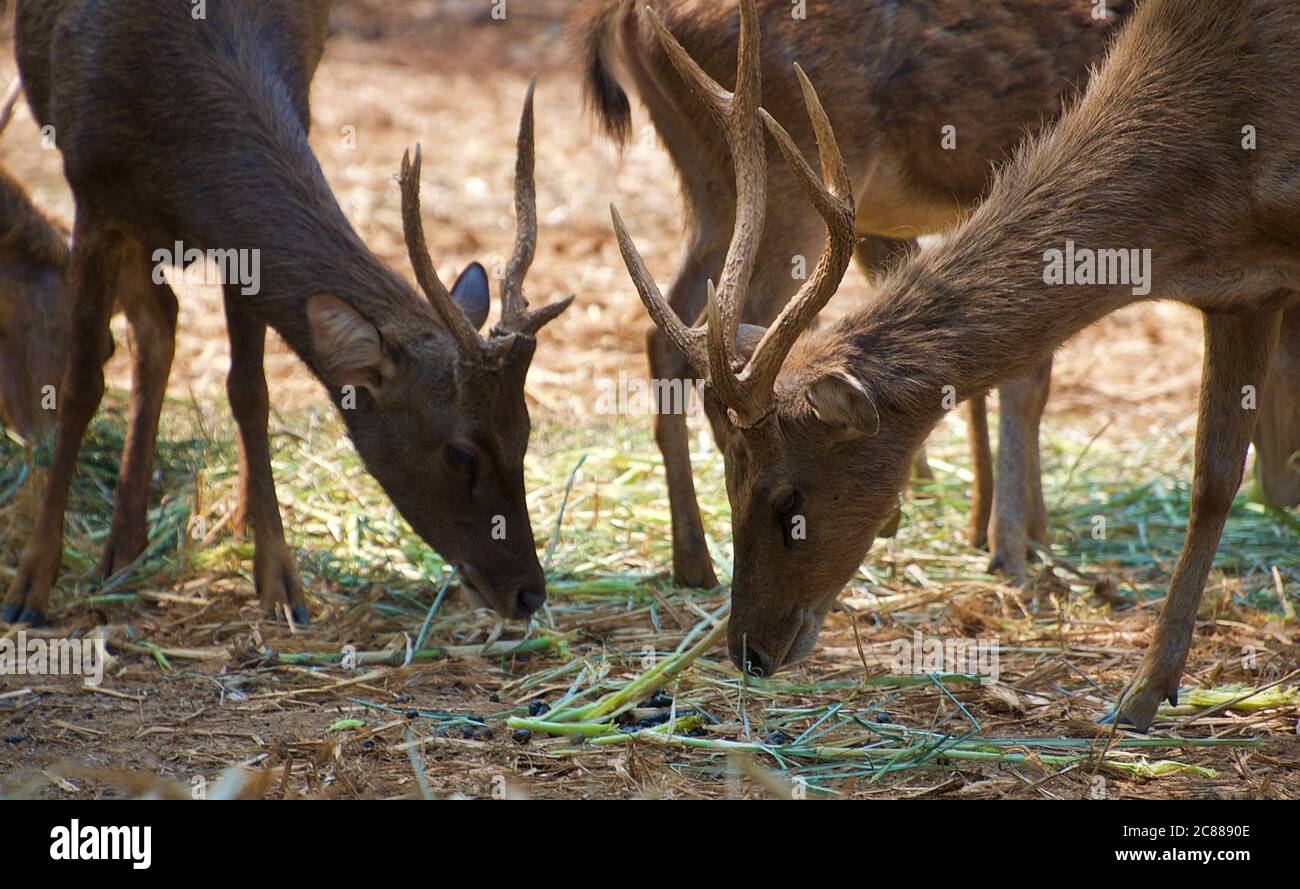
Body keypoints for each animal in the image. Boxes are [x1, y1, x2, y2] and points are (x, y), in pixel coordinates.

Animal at [2, 0, 571, 628]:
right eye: (461, 452)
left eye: (525, 432)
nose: (529, 593)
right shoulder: (91, 199)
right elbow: (80, 386)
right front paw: (30, 586)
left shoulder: (239, 246)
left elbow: (250, 392)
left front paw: (279, 579)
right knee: (155, 325)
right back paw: (121, 548)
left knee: (166, 325)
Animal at [582, 0, 1140, 588]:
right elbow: (1025, 379)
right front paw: (1009, 546)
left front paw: (1019, 531)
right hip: (794, 179)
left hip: (715, 187)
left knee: (673, 331)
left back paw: (695, 560)